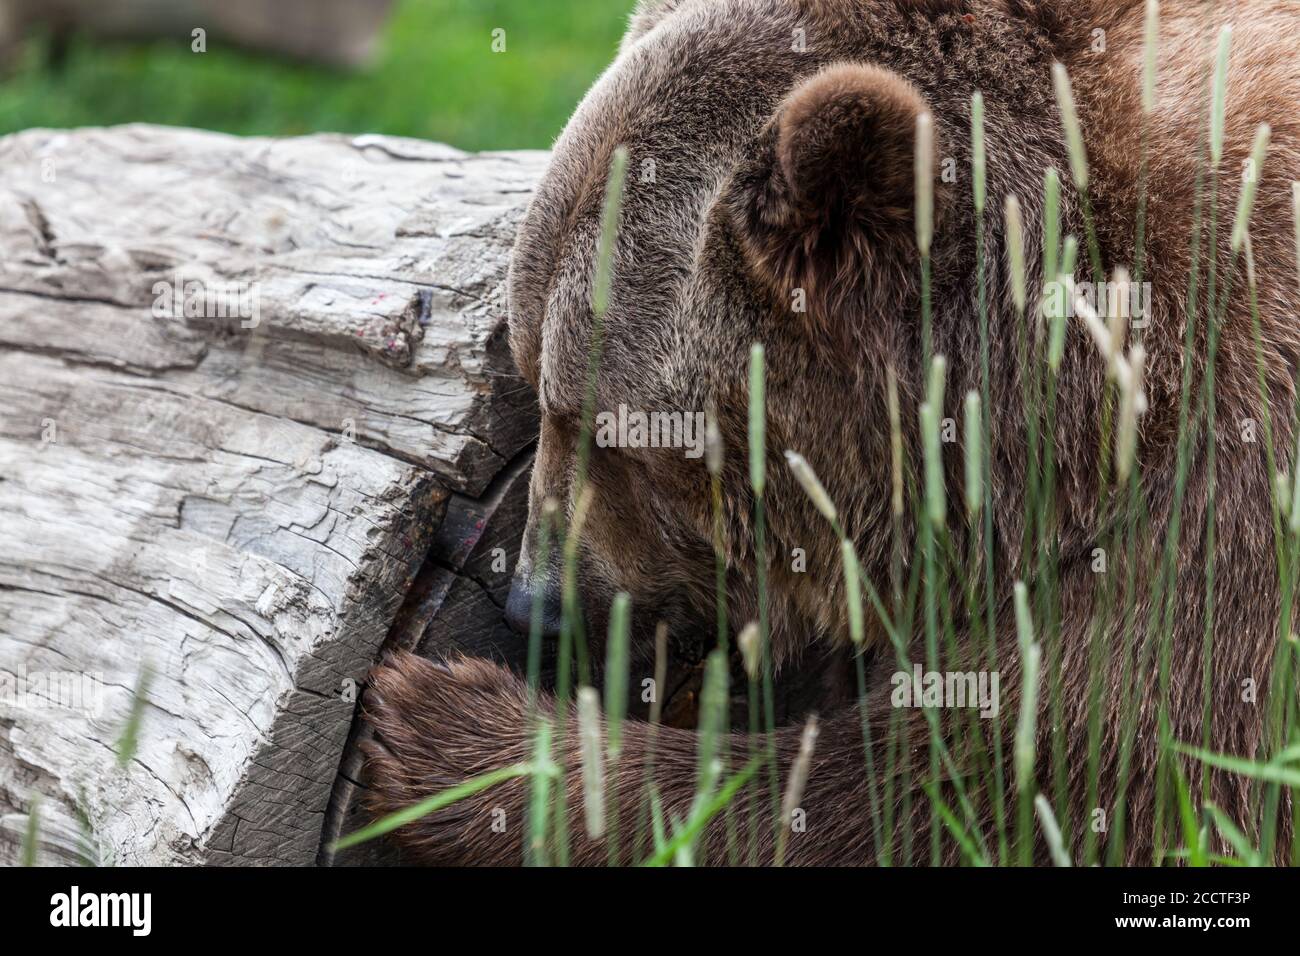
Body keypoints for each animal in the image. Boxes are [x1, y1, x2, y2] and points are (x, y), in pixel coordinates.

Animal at [361, 0, 1300, 866]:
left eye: (615, 434)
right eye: (530, 375)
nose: (536, 604)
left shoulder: (1221, 509)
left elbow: (985, 789)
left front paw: (440, 729)